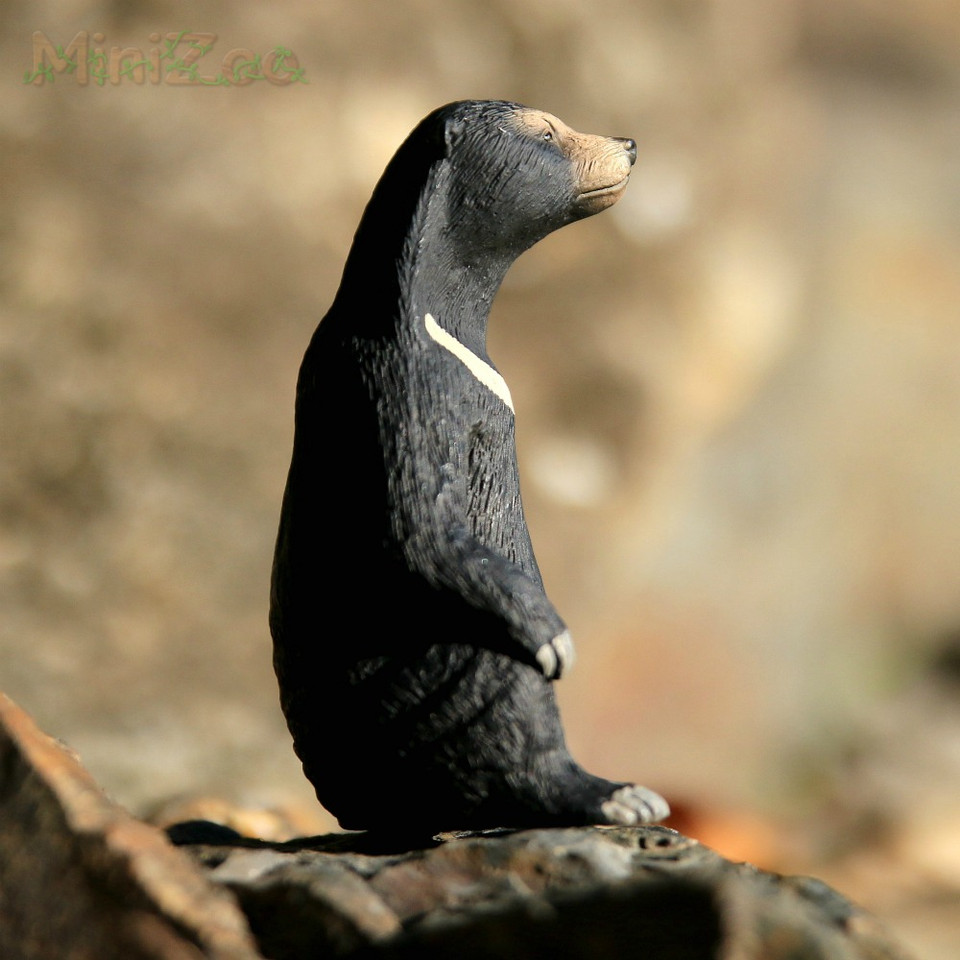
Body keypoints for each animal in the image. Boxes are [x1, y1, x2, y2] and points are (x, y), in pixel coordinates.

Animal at [270, 100, 669, 833]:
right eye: (547, 133)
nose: (629, 143)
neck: (432, 317)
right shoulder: (408, 387)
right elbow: (416, 530)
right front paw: (553, 635)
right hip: (441, 650)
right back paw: (611, 795)